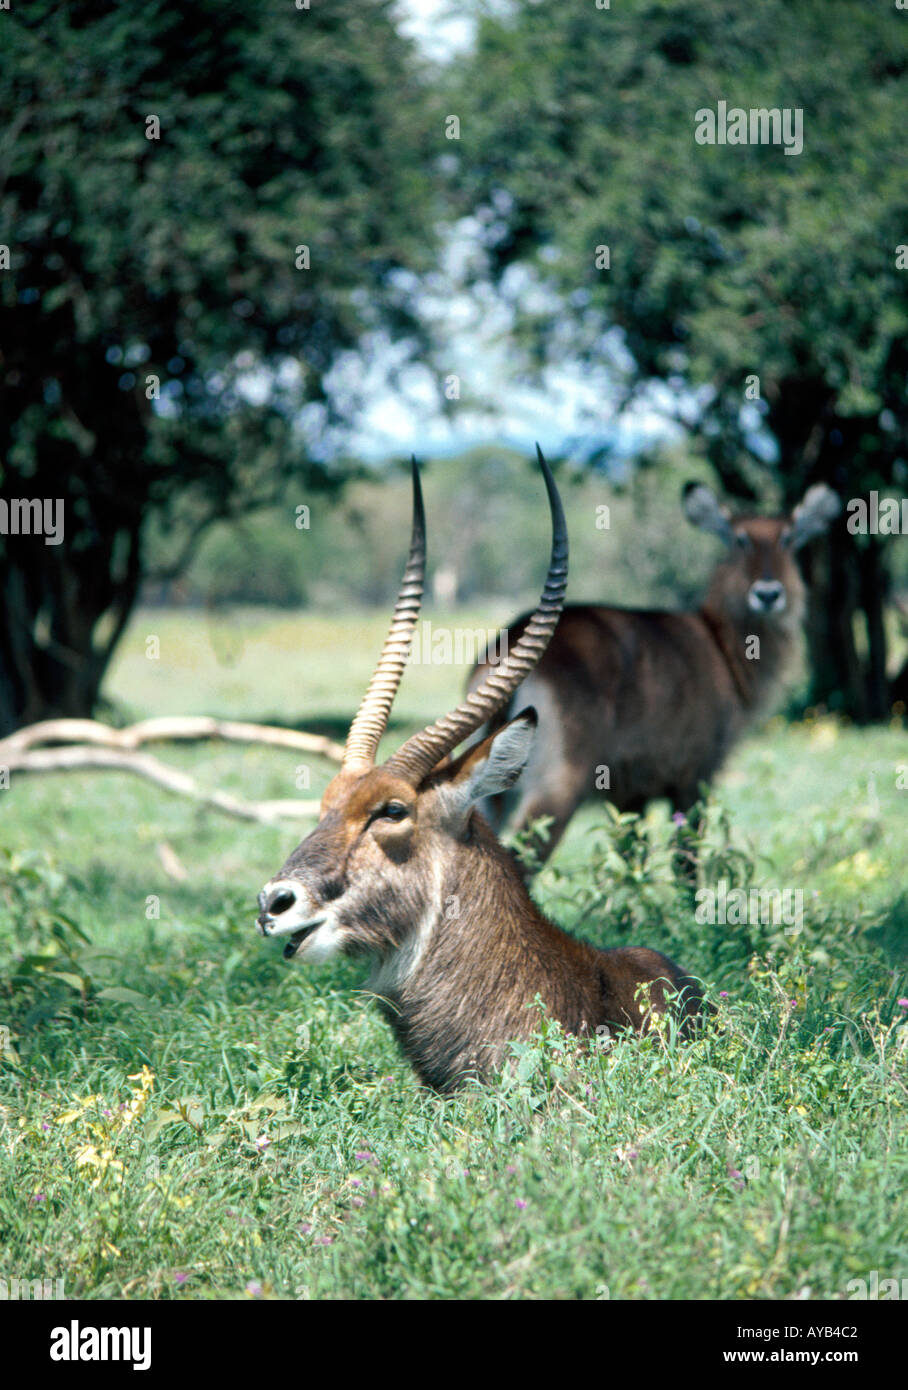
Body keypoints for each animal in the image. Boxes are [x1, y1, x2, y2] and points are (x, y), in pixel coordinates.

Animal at [469, 479, 841, 872]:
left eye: (787, 538)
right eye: (740, 539)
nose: (768, 594)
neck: (720, 644)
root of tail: (512, 642)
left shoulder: (630, 793)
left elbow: (632, 856)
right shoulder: (695, 774)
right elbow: (686, 859)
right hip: (556, 783)